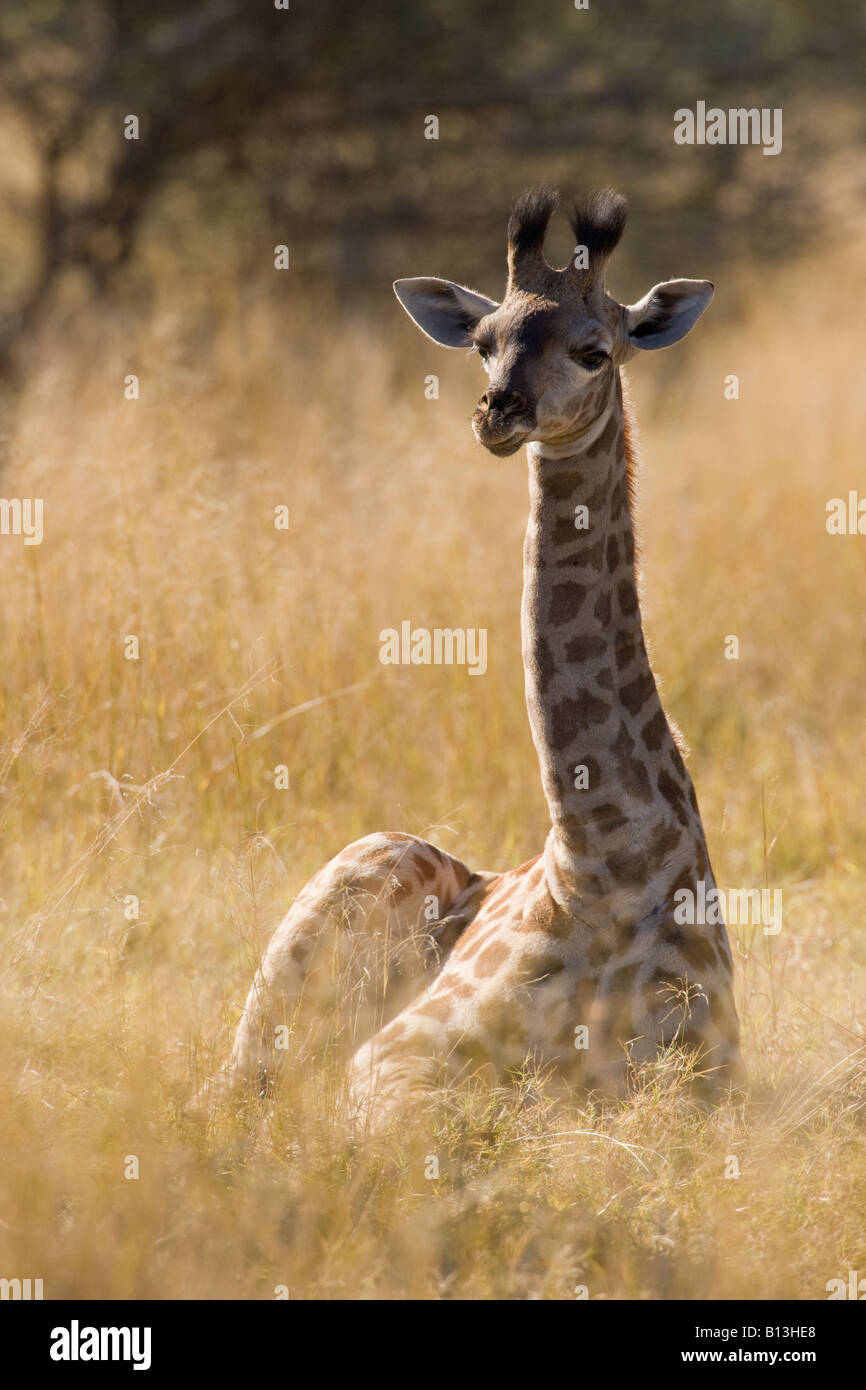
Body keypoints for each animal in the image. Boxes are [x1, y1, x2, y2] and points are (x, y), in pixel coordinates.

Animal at [226, 187, 744, 1119]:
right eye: (484, 340)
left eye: (594, 349)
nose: (497, 412)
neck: (604, 859)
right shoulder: (390, 1061)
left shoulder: (712, 1087)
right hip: (341, 898)